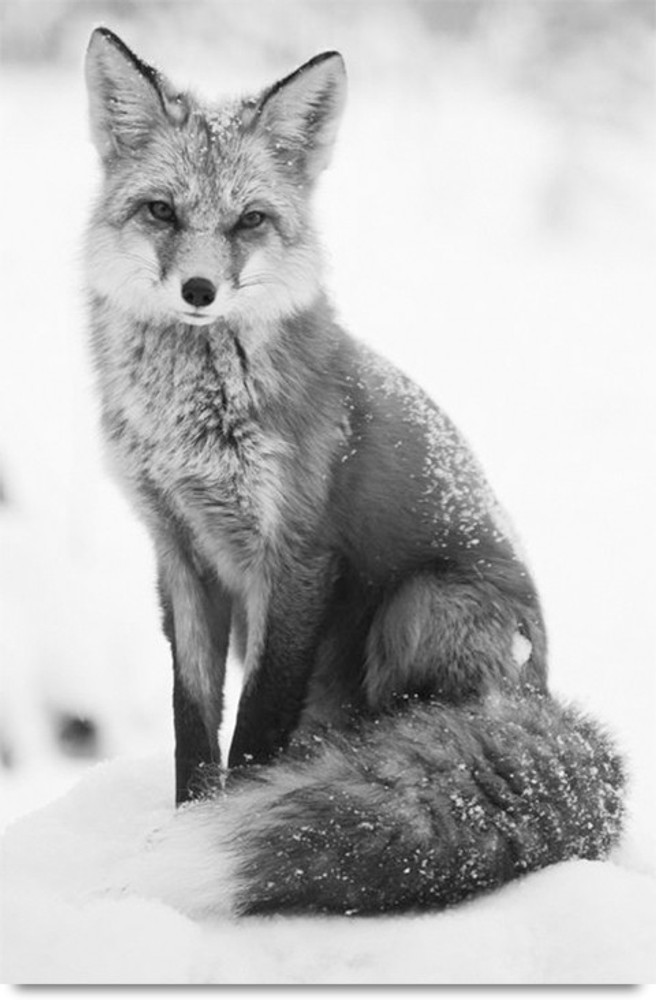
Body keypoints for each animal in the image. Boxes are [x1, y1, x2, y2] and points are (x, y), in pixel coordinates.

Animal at [83, 27, 625, 917]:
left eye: (250, 220)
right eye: (161, 211)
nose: (198, 290)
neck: (193, 421)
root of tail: (548, 700)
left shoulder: (297, 555)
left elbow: (256, 726)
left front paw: (234, 815)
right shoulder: (180, 551)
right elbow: (193, 725)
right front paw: (186, 822)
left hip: (425, 603)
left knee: (411, 717)